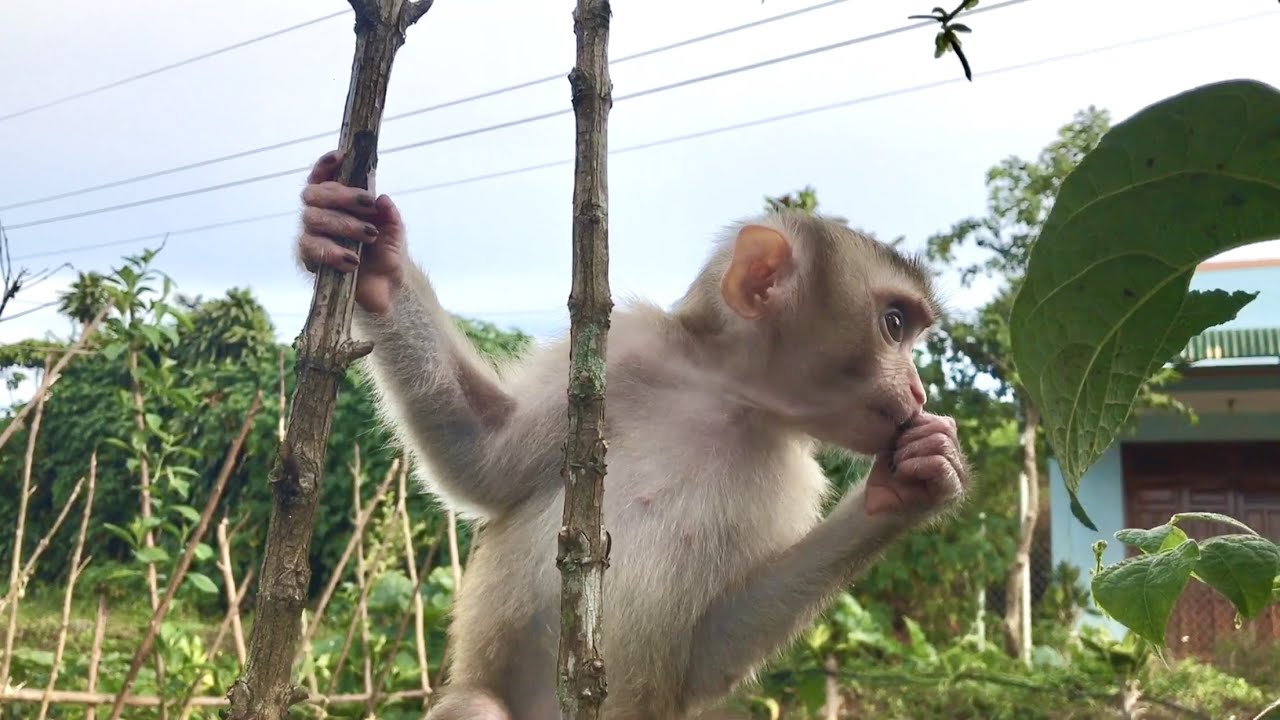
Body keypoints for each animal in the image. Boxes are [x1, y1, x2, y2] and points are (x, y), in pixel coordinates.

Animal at [294, 149, 968, 720]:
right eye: (894, 324)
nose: (918, 393)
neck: (730, 399)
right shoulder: (625, 352)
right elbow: (484, 455)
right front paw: (373, 260)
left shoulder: (794, 476)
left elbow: (708, 650)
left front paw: (910, 485)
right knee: (474, 708)